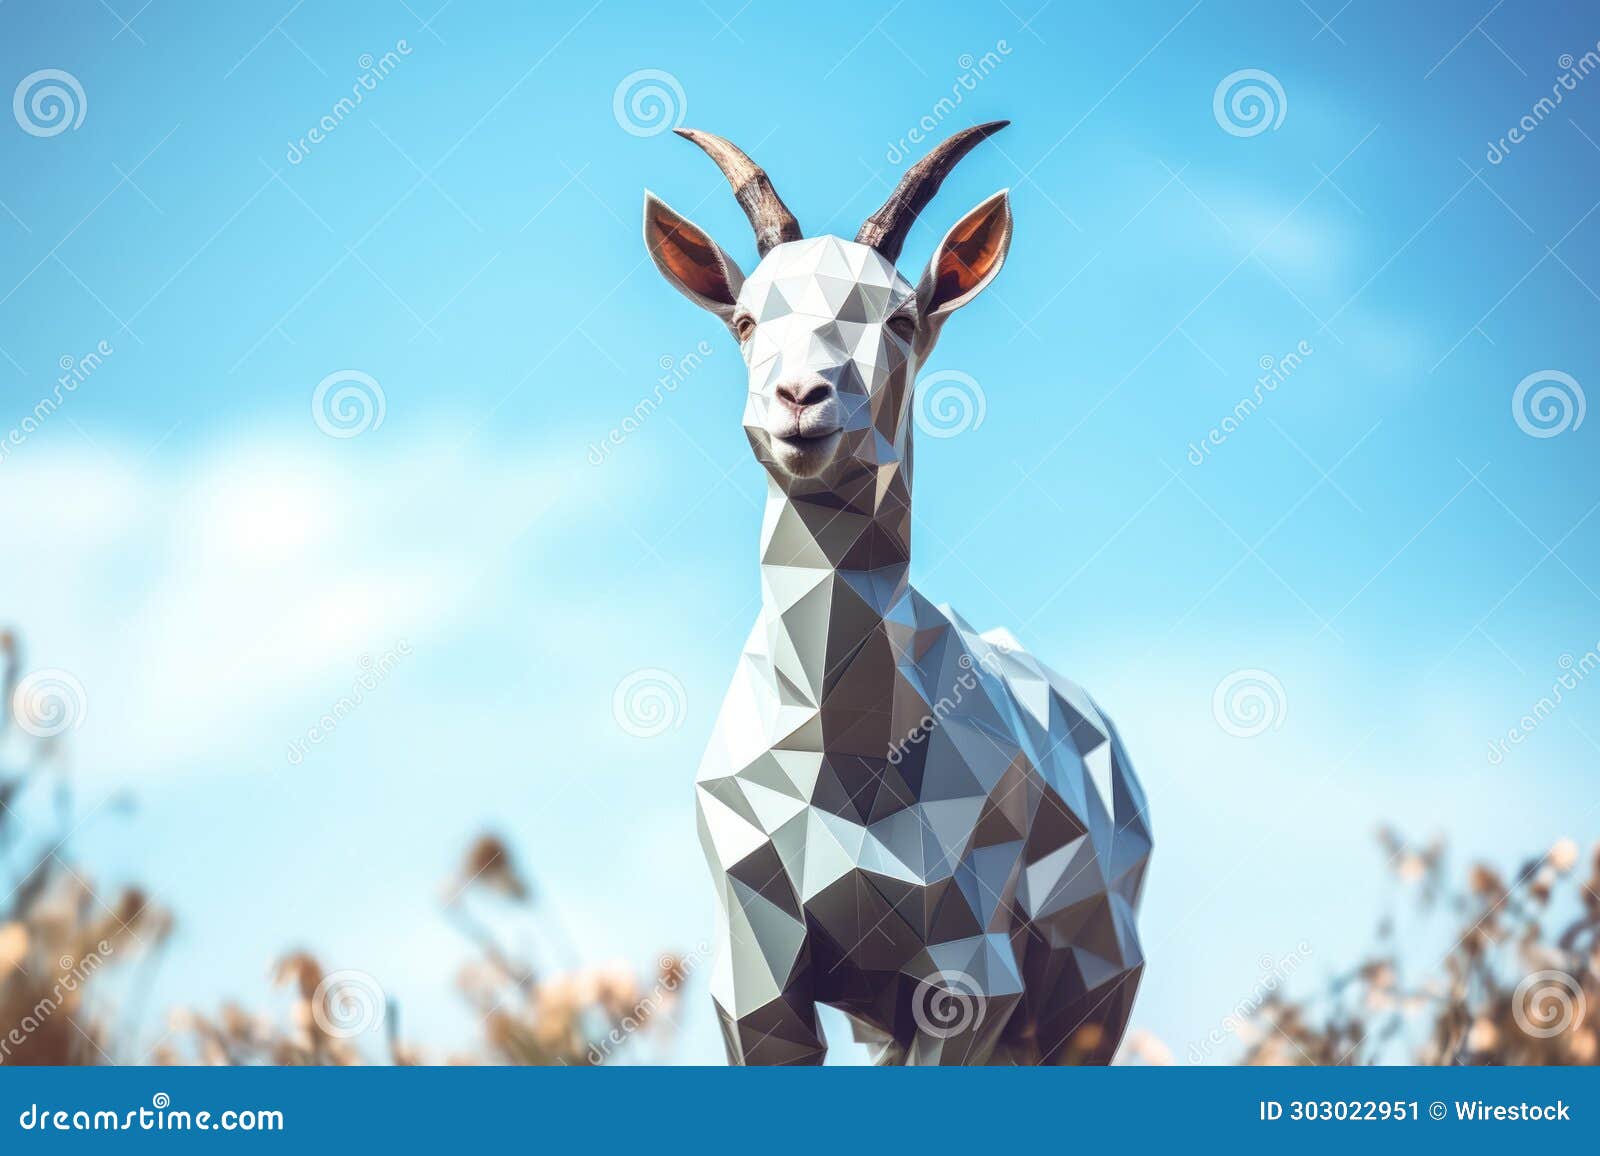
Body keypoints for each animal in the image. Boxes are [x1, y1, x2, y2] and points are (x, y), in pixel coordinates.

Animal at [644, 122, 1150, 1065]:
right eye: (745, 319)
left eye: (902, 318)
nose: (800, 400)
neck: (838, 754)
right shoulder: (758, 983)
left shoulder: (966, 982)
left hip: (1087, 1008)